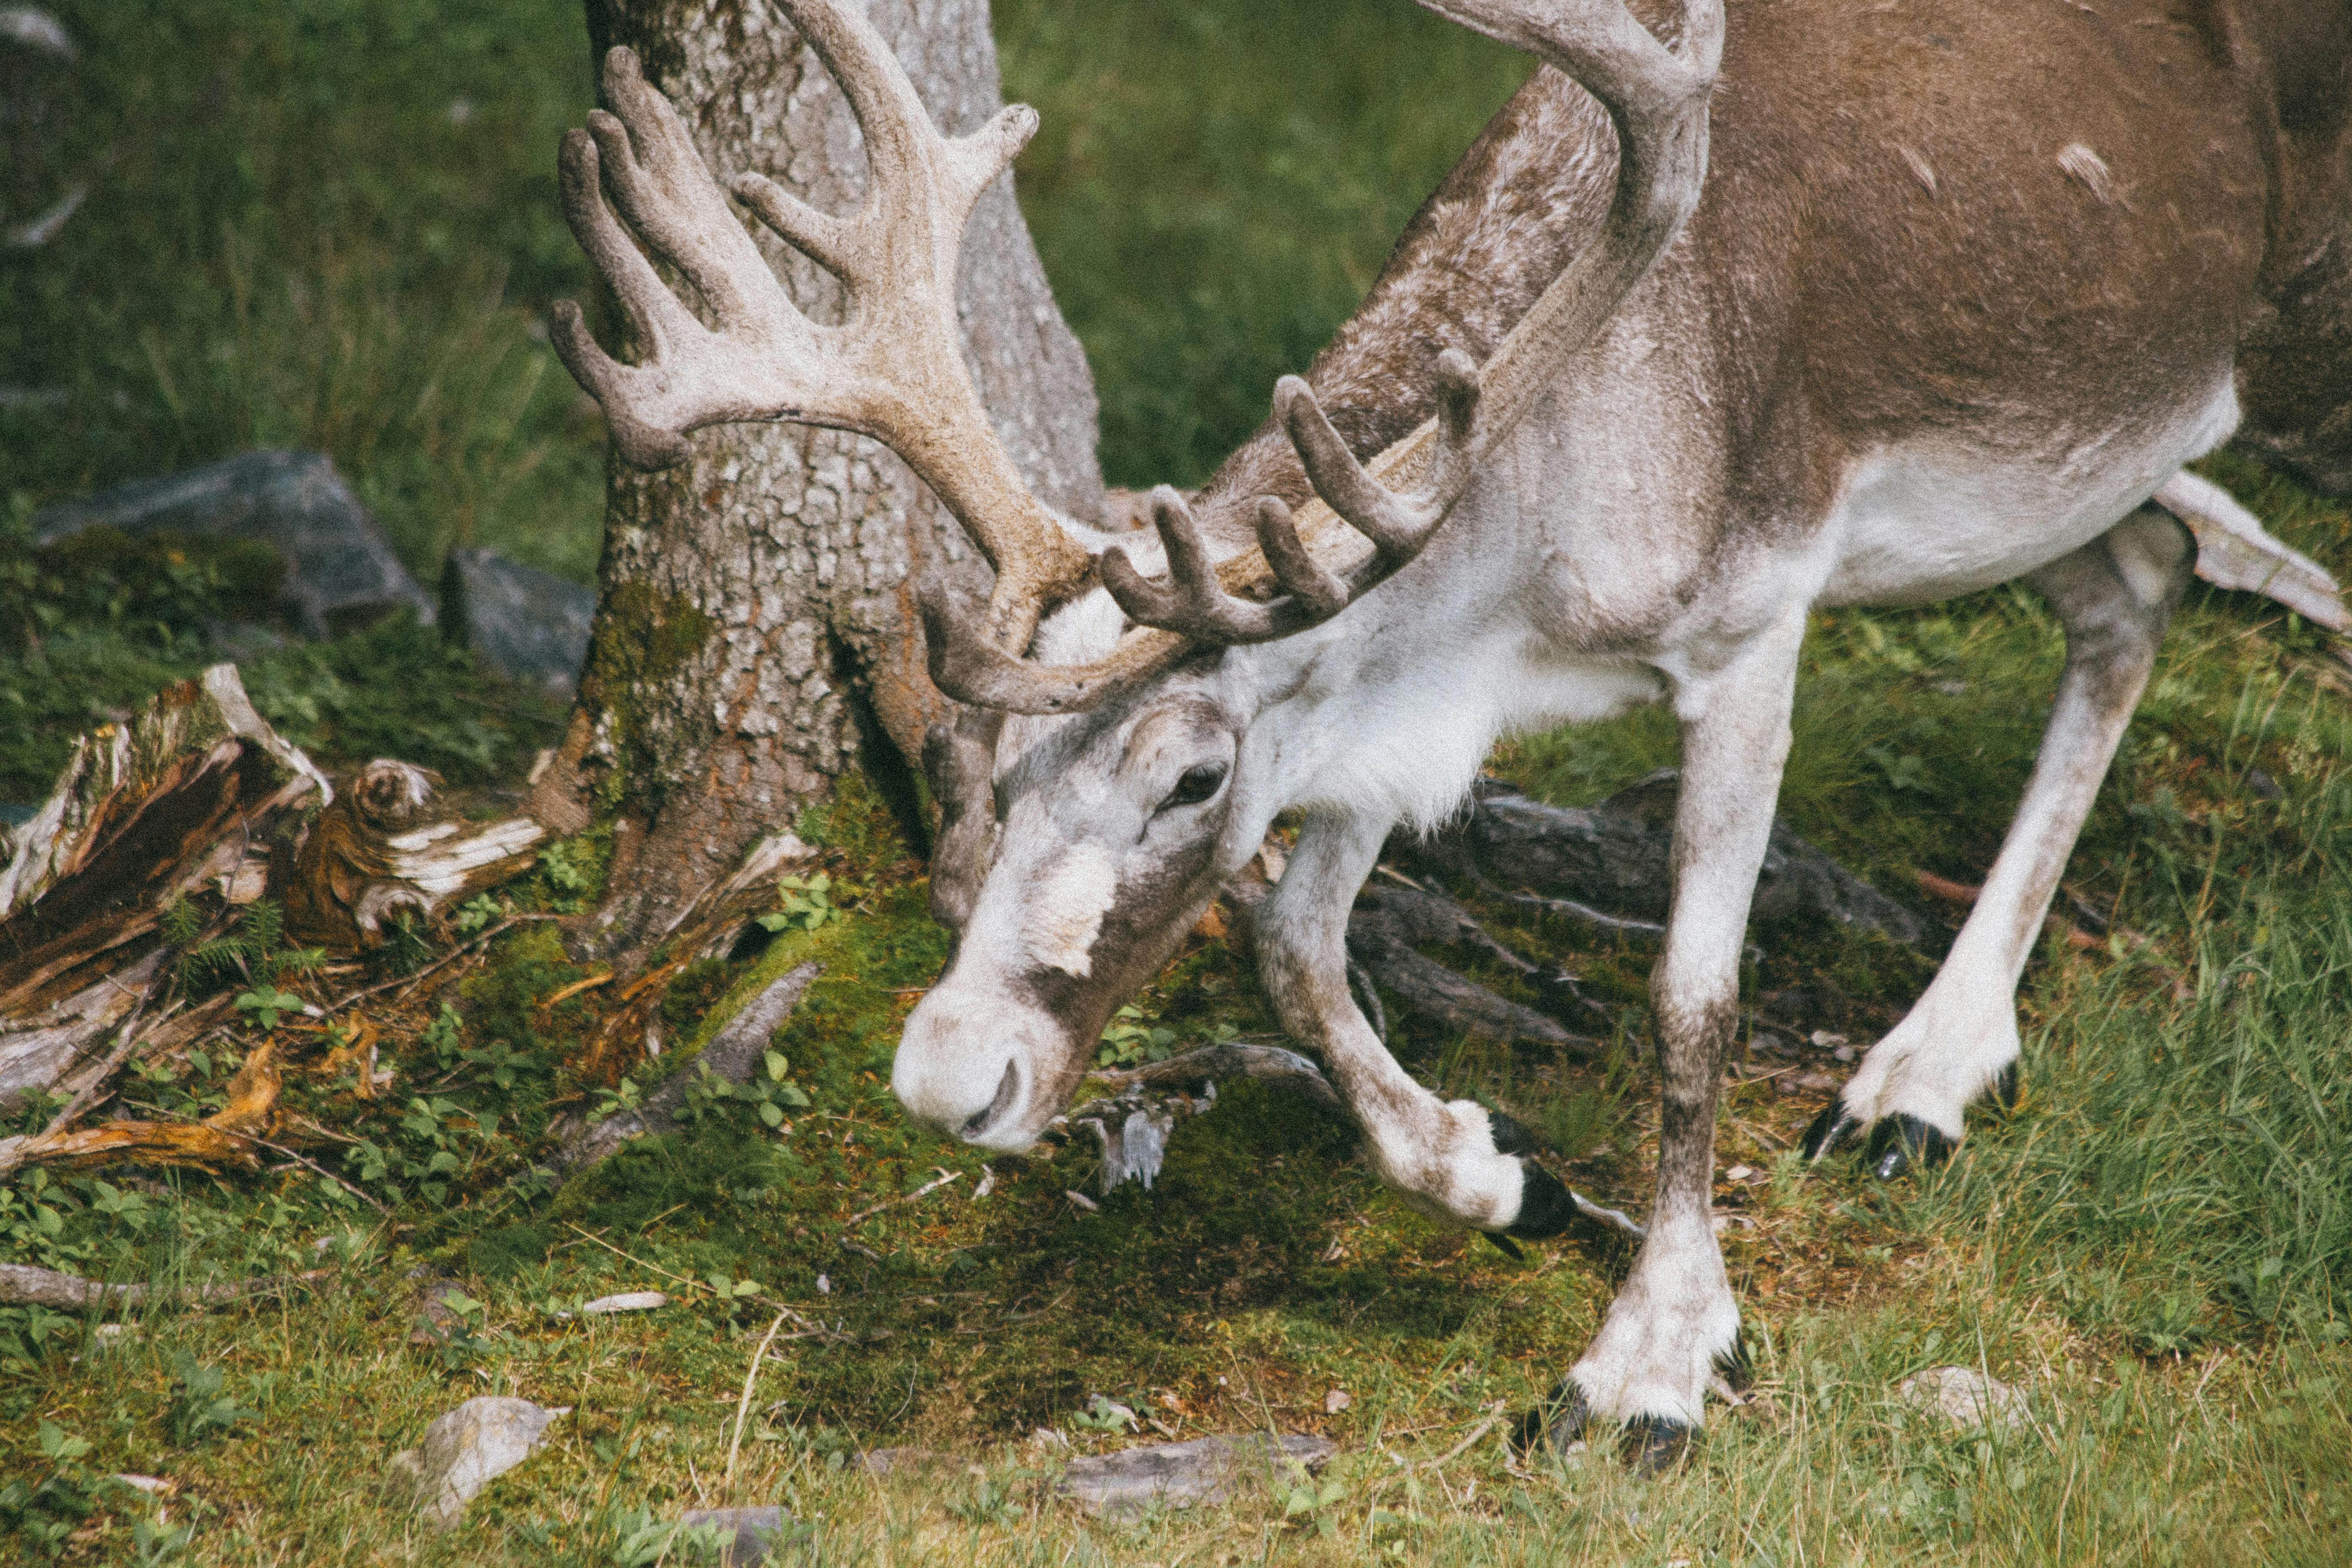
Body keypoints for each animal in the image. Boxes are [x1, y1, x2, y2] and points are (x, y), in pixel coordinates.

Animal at [550, 0, 2352, 1464]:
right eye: (993, 772)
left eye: (1191, 771)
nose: (948, 1074)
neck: (1534, 562)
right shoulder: (1390, 695)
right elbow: (1291, 942)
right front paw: (1507, 1176)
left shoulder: (1751, 620)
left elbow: (1691, 1000)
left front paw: (1649, 1360)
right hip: (2057, 473)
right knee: (2140, 581)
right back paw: (1923, 1070)